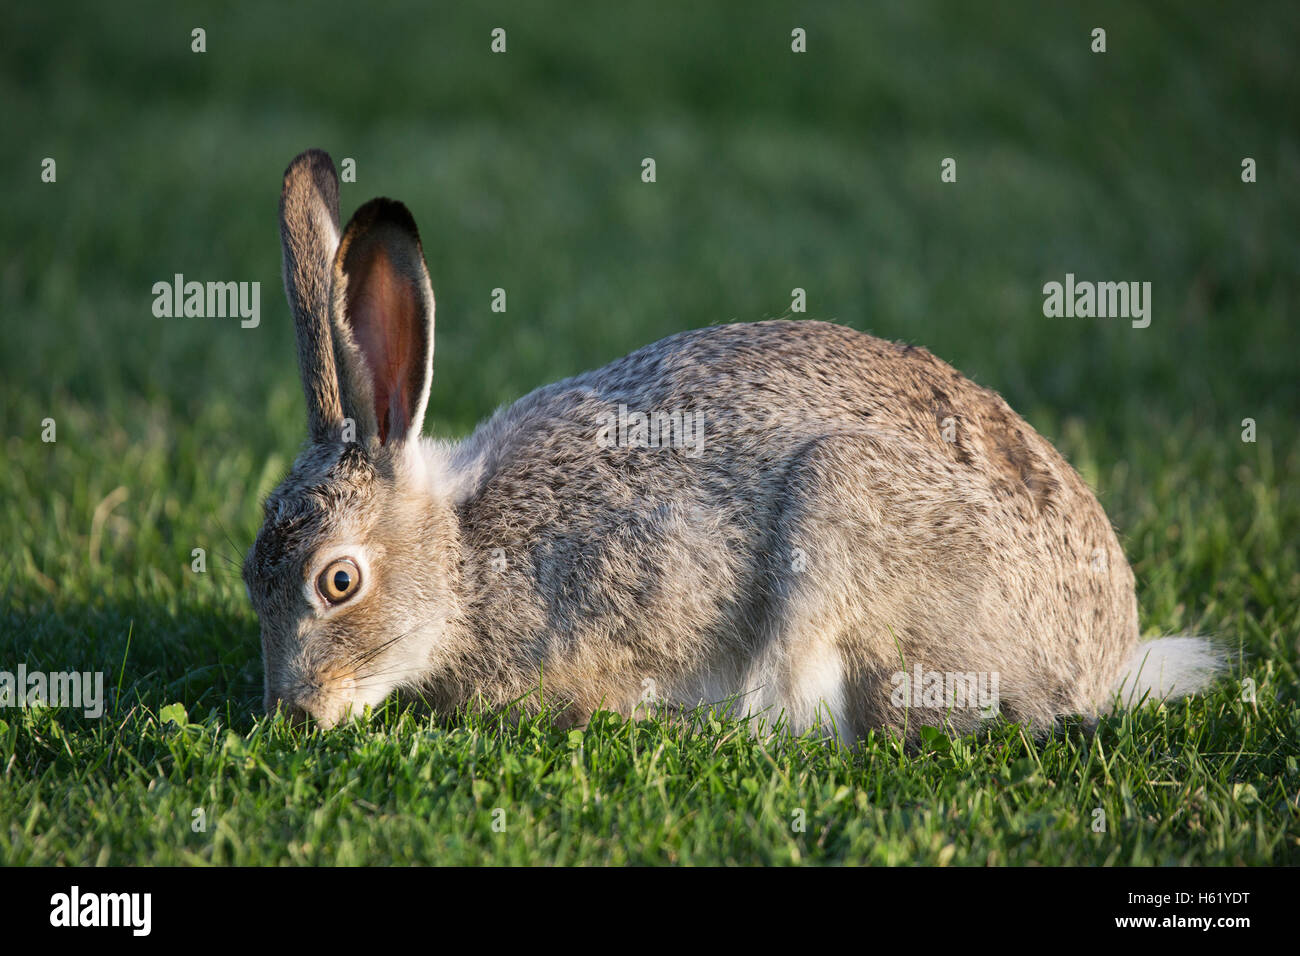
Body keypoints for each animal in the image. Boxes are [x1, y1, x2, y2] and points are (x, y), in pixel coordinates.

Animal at [243, 148, 1225, 738]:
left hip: (841, 506)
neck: (464, 562)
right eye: (251, 578)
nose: (294, 713)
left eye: (339, 582)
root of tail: (1097, 665)